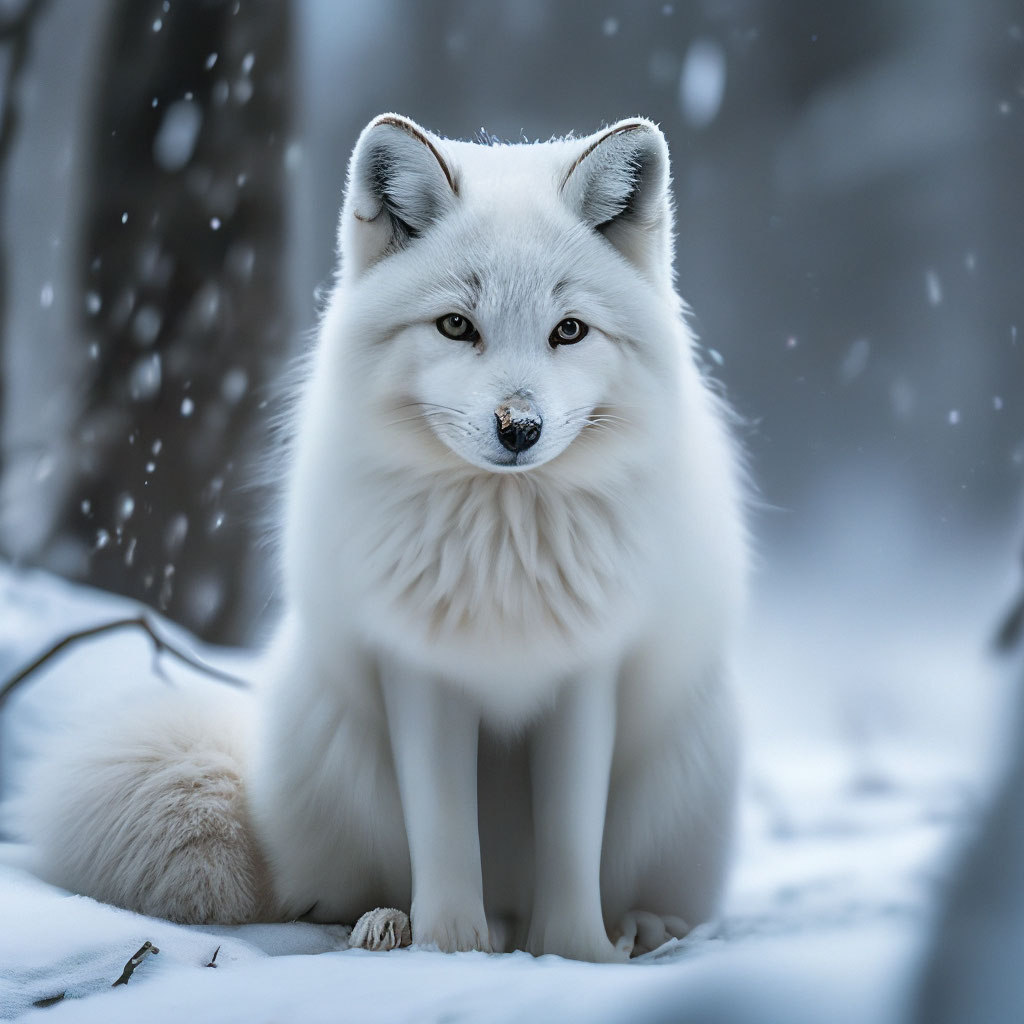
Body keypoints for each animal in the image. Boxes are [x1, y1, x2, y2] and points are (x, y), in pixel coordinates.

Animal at [19, 113, 748, 963]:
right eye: (457, 326)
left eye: (569, 331)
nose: (520, 428)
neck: (503, 550)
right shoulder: (418, 667)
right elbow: (443, 835)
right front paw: (448, 950)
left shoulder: (588, 669)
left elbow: (572, 841)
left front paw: (576, 956)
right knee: (324, 895)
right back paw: (388, 926)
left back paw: (636, 928)